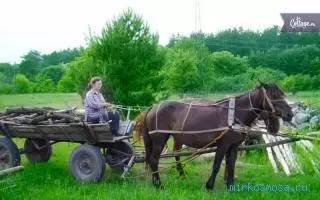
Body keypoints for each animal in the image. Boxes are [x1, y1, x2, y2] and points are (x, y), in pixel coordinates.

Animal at [136, 83, 292, 189]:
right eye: (273, 96)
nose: (290, 114)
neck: (233, 114)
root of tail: (153, 107)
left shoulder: (233, 146)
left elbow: (231, 165)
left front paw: (230, 185)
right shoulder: (223, 144)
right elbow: (217, 165)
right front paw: (209, 185)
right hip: (160, 139)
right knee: (154, 159)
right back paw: (158, 184)